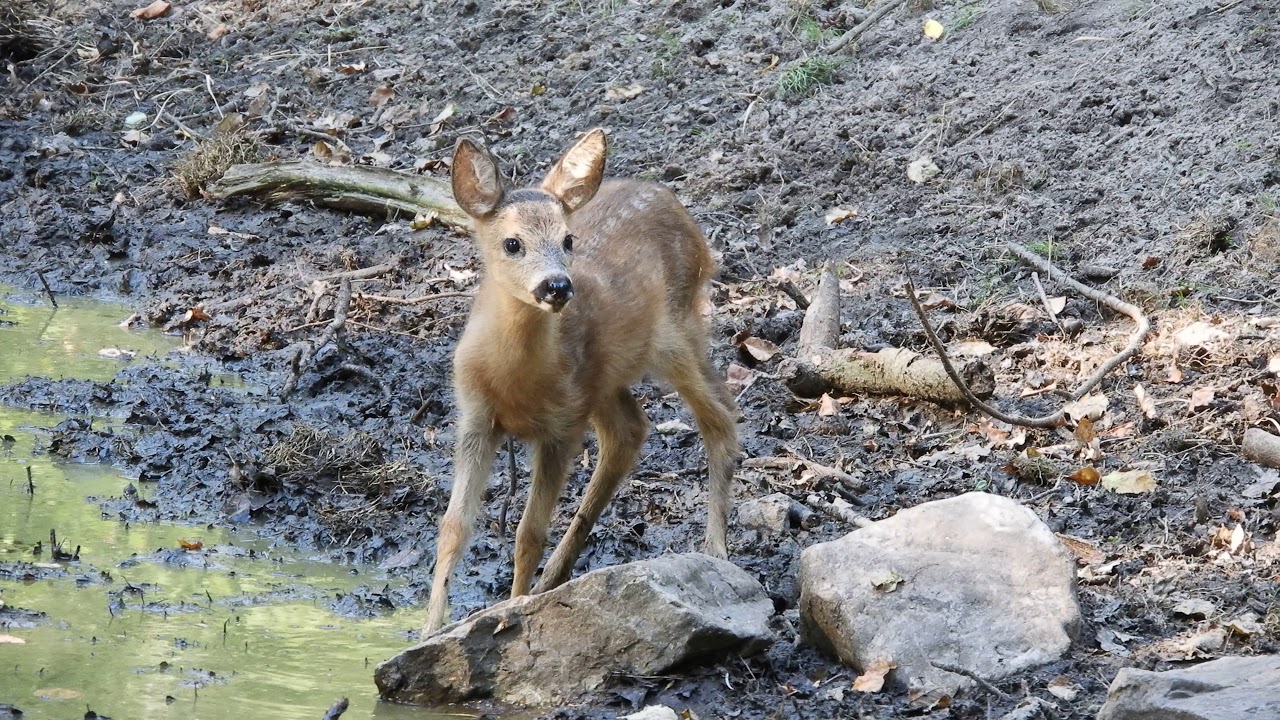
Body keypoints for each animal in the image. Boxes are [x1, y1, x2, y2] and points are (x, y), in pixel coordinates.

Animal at [421, 128, 740, 635]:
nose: (557, 286)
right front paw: (429, 627)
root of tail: (671, 200)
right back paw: (554, 577)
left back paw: (715, 550)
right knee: (631, 429)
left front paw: (510, 609)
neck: (512, 381)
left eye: (569, 239)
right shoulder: (474, 415)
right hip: (603, 380)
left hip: (676, 332)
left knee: (721, 416)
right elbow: (453, 525)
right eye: (512, 244)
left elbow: (528, 532)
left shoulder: (563, 427)